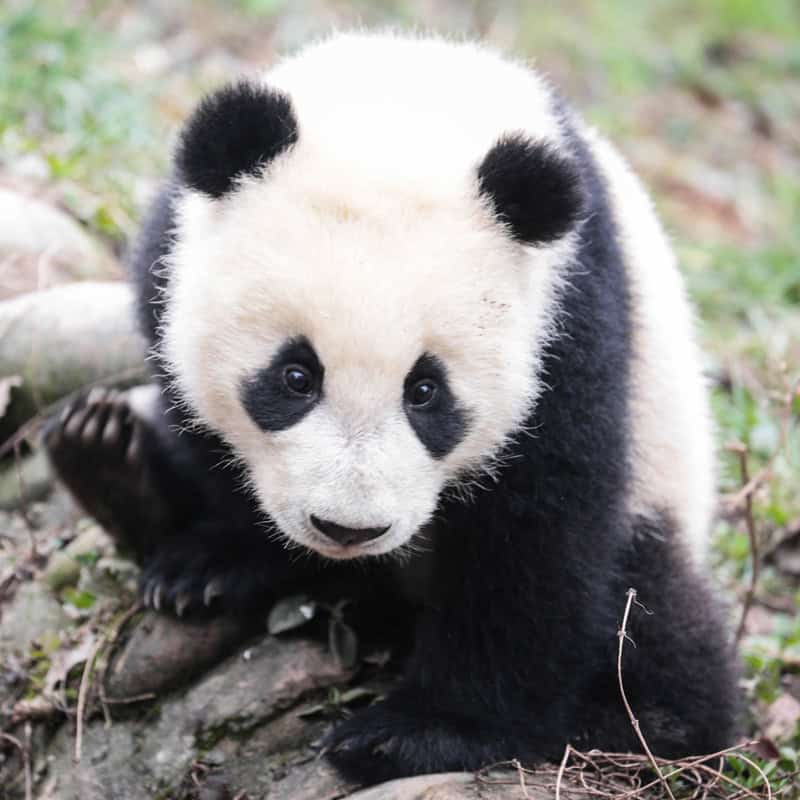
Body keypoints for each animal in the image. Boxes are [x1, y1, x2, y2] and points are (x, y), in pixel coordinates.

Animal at [45, 32, 739, 784]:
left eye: (426, 391)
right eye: (296, 376)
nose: (347, 529)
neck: (401, 113)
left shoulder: (570, 318)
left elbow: (538, 526)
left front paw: (420, 731)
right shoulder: (172, 256)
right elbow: (202, 425)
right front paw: (214, 562)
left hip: (659, 491)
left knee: (654, 616)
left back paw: (638, 719)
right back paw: (107, 464)